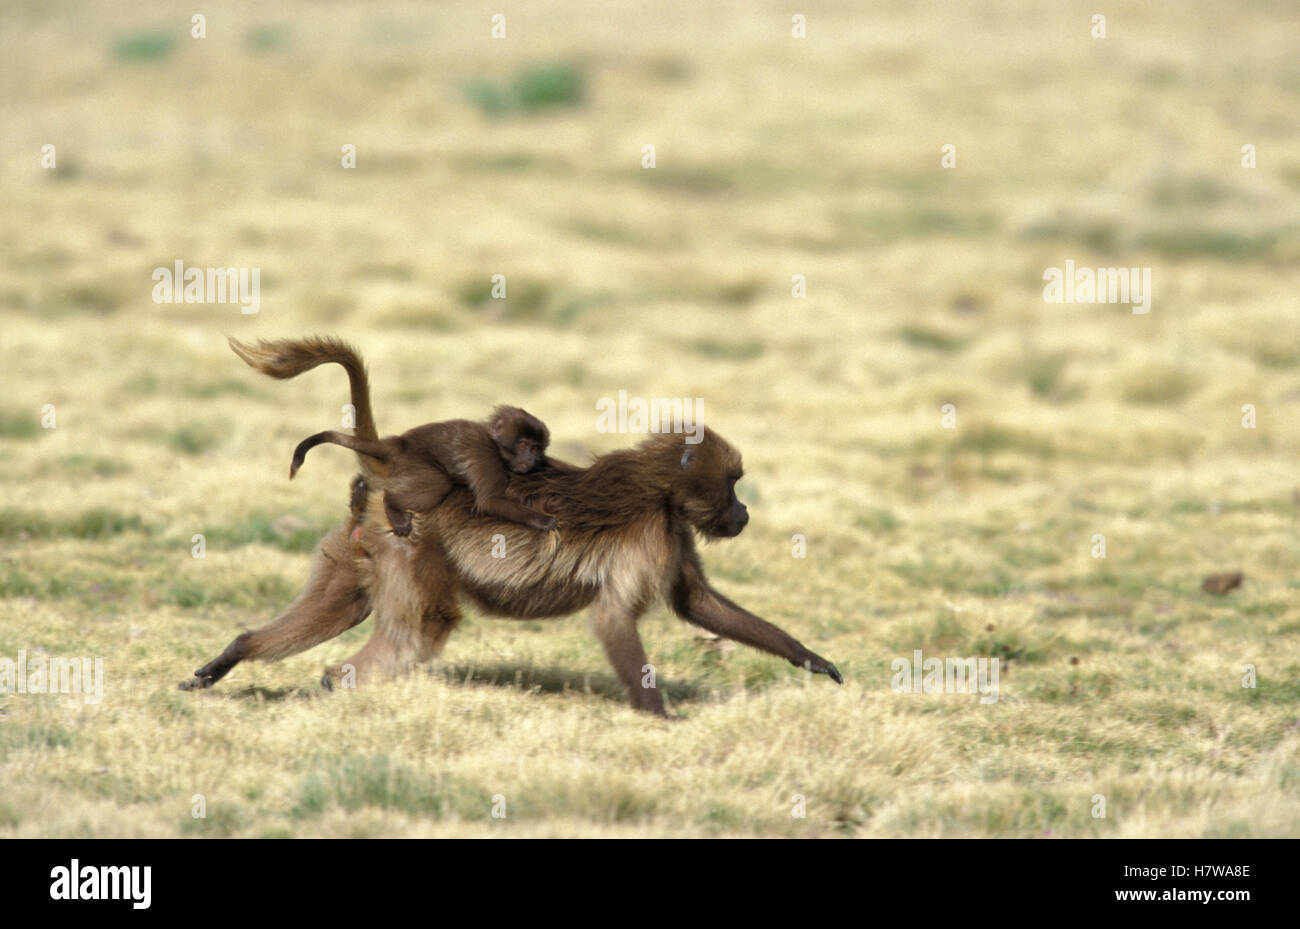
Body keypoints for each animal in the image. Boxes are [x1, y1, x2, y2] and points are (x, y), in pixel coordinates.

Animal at [288, 406, 556, 537]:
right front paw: (543, 521)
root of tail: (400, 443)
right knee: (438, 484)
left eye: (536, 448)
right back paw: (392, 505)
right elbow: (490, 500)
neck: (496, 444)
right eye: (523, 445)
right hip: (416, 464)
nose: (530, 458)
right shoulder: (484, 455)